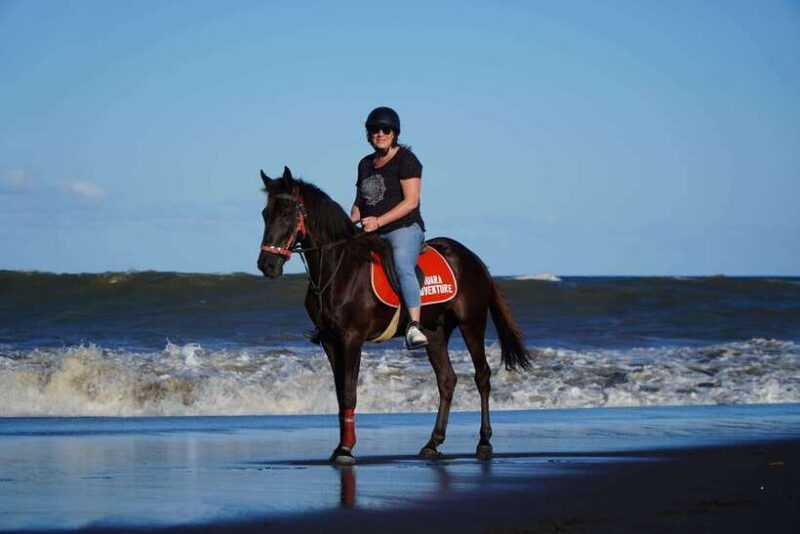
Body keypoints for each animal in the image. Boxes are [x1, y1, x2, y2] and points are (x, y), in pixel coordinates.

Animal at [257, 166, 530, 465]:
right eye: (265, 213)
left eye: (287, 213)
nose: (267, 264)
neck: (339, 269)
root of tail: (474, 259)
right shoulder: (330, 340)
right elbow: (341, 394)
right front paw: (341, 445)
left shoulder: (351, 338)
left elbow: (350, 392)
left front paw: (346, 449)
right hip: (435, 332)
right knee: (447, 381)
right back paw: (432, 443)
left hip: (472, 322)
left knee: (482, 376)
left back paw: (484, 442)